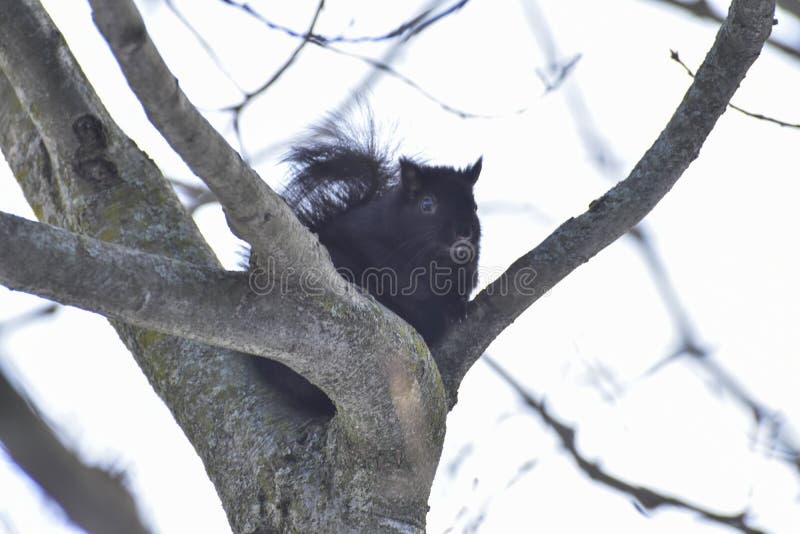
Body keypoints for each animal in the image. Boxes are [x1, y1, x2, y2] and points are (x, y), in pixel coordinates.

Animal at [279, 110, 483, 344]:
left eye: (475, 207)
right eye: (427, 204)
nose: (464, 232)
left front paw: (459, 307)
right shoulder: (380, 251)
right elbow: (406, 286)